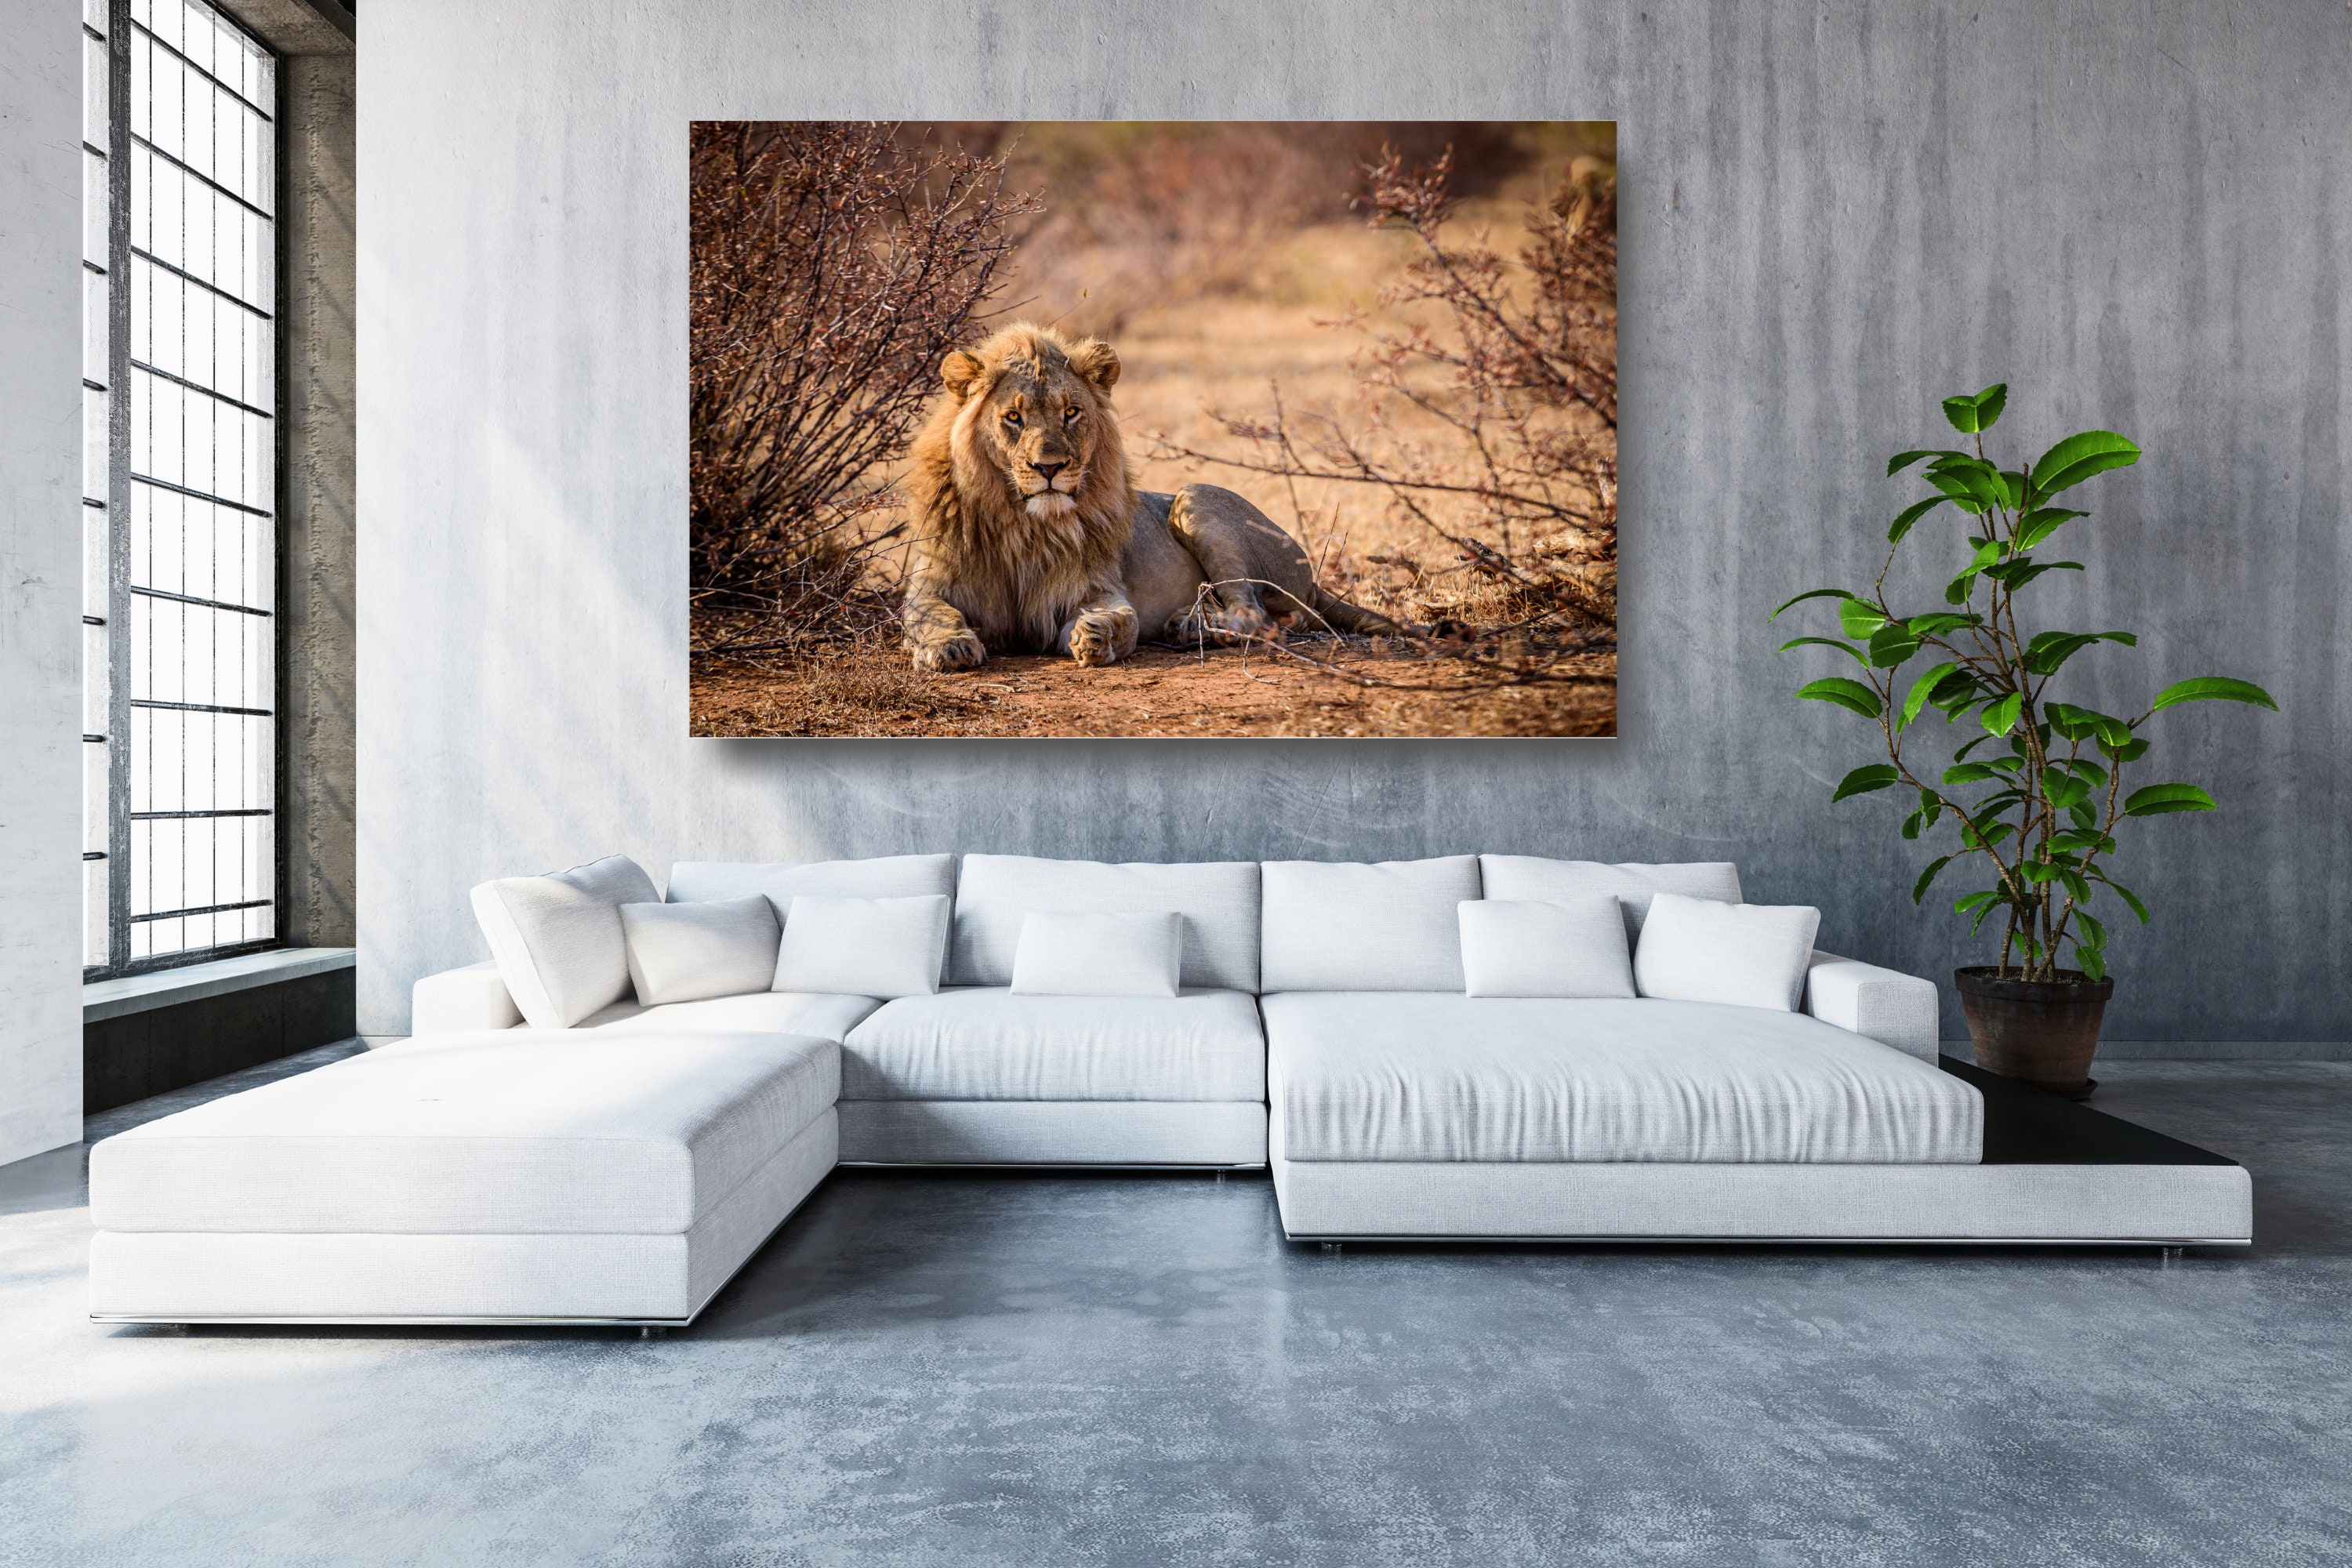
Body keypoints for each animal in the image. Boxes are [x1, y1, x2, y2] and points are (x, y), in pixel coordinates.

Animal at [899, 322, 1399, 671]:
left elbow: (1127, 619)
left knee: (1256, 615)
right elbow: (929, 615)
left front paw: (1096, 635)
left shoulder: (1093, 588)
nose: (1050, 468)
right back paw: (1193, 624)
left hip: (1195, 498)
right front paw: (950, 646)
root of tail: (1312, 580)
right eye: (1013, 417)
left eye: (1071, 412)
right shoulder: (931, 584)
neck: (1023, 524)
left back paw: (1195, 627)